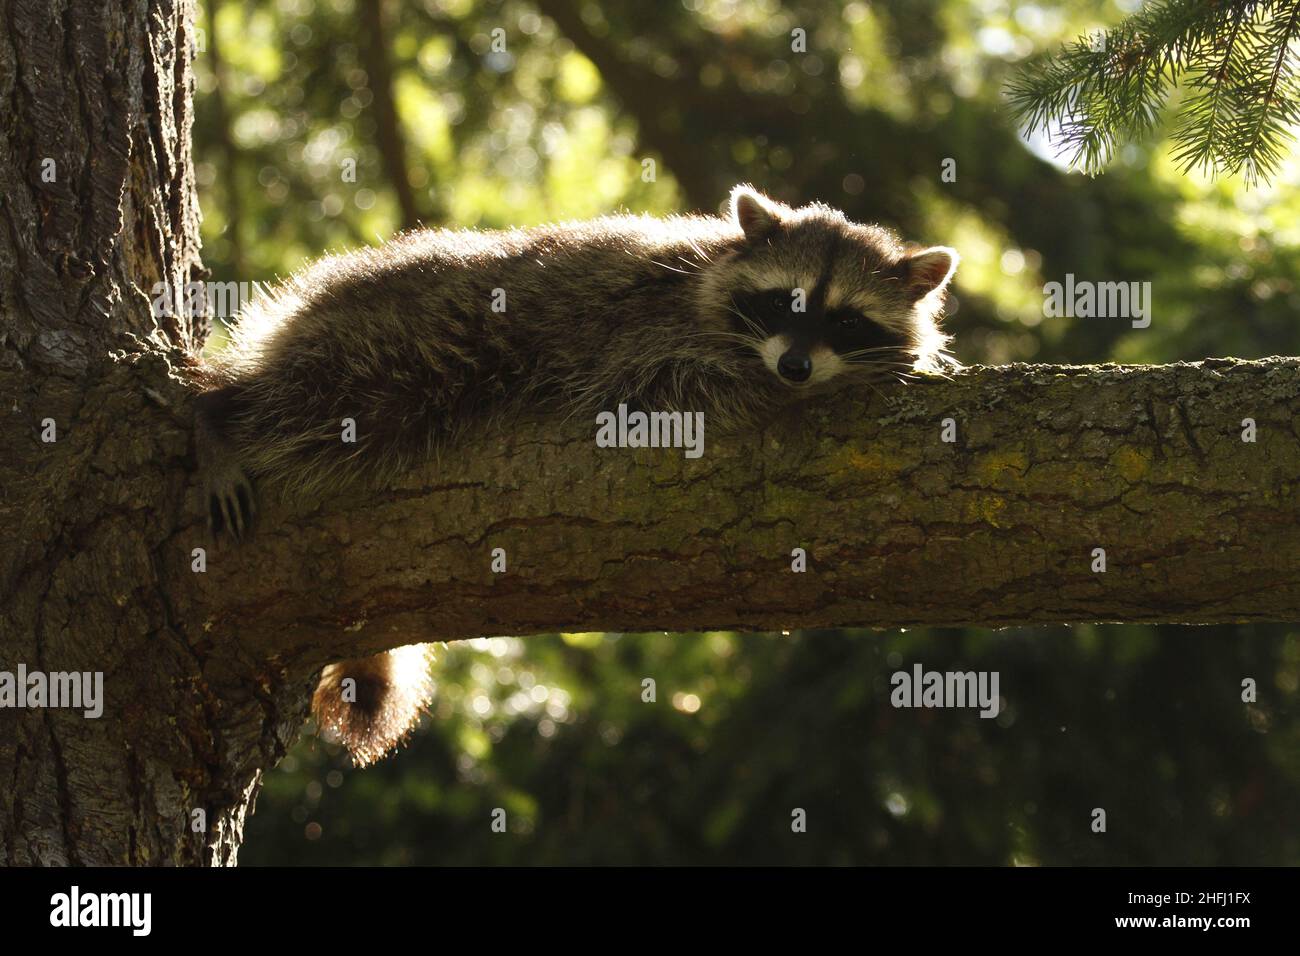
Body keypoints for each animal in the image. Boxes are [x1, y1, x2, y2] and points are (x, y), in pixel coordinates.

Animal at [196, 184, 958, 764]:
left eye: (845, 320)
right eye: (783, 301)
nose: (795, 367)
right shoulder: (644, 333)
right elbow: (685, 381)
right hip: (390, 338)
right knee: (313, 400)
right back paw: (223, 414)